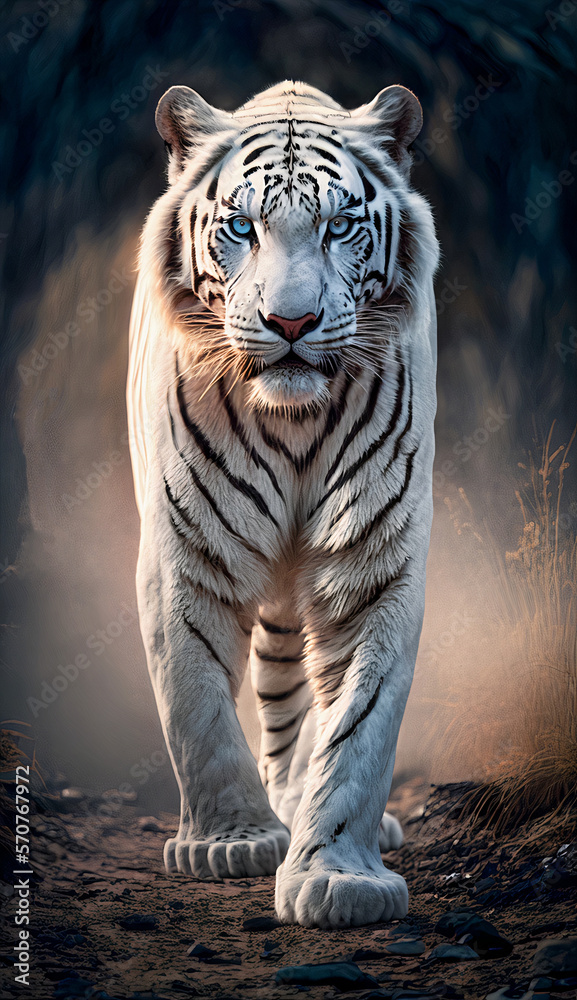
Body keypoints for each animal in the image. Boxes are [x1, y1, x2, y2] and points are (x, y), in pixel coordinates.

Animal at [126, 79, 439, 929]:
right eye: (242, 226)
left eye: (339, 227)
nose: (291, 322)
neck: (294, 423)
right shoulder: (184, 554)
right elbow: (195, 704)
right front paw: (230, 842)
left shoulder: (373, 564)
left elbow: (358, 728)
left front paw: (337, 874)